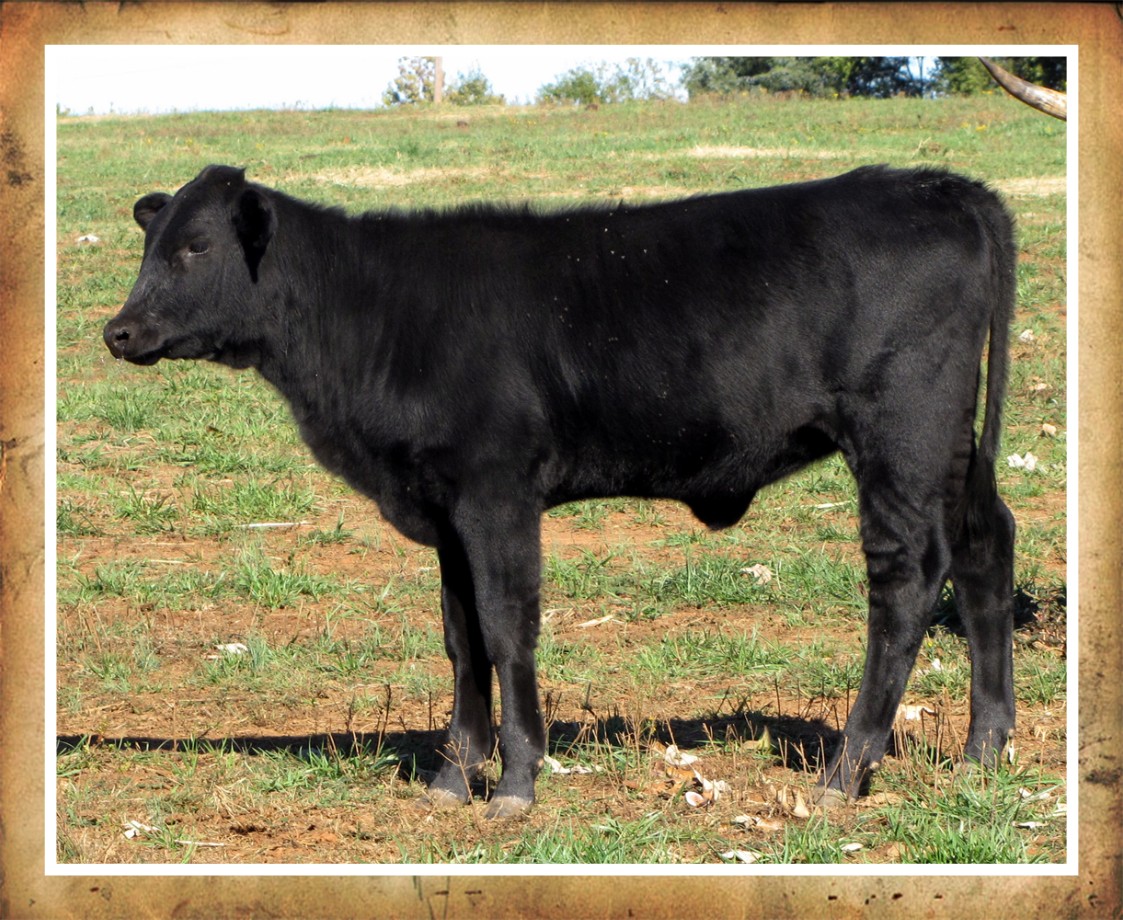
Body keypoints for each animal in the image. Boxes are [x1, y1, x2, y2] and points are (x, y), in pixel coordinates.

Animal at [103, 163, 1017, 818]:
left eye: (195, 248)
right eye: (152, 246)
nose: (119, 330)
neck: (372, 314)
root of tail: (943, 186)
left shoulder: (496, 492)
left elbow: (508, 629)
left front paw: (514, 783)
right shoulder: (444, 509)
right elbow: (462, 636)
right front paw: (454, 775)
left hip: (901, 433)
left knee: (904, 580)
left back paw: (846, 770)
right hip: (950, 449)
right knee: (984, 550)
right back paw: (983, 749)